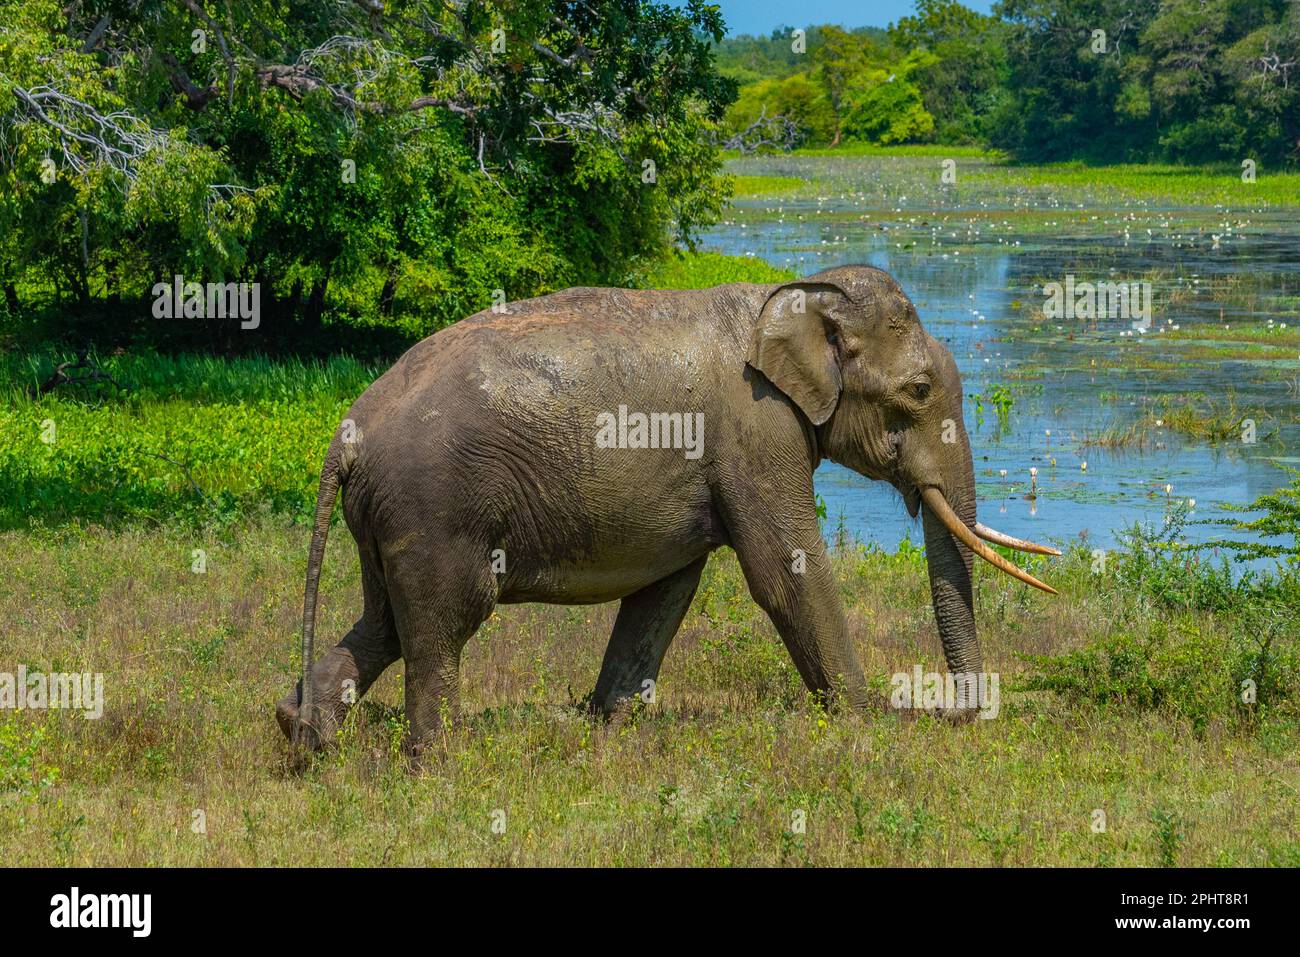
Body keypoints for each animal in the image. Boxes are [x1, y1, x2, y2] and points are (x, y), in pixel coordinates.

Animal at [276, 264, 1058, 752]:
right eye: (920, 391)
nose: (950, 712)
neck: (795, 292)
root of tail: (347, 433)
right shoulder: (757, 428)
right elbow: (786, 573)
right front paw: (864, 726)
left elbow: (667, 588)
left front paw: (605, 728)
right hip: (435, 507)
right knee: (444, 620)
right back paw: (437, 761)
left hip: (390, 516)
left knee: (385, 618)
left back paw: (303, 734)